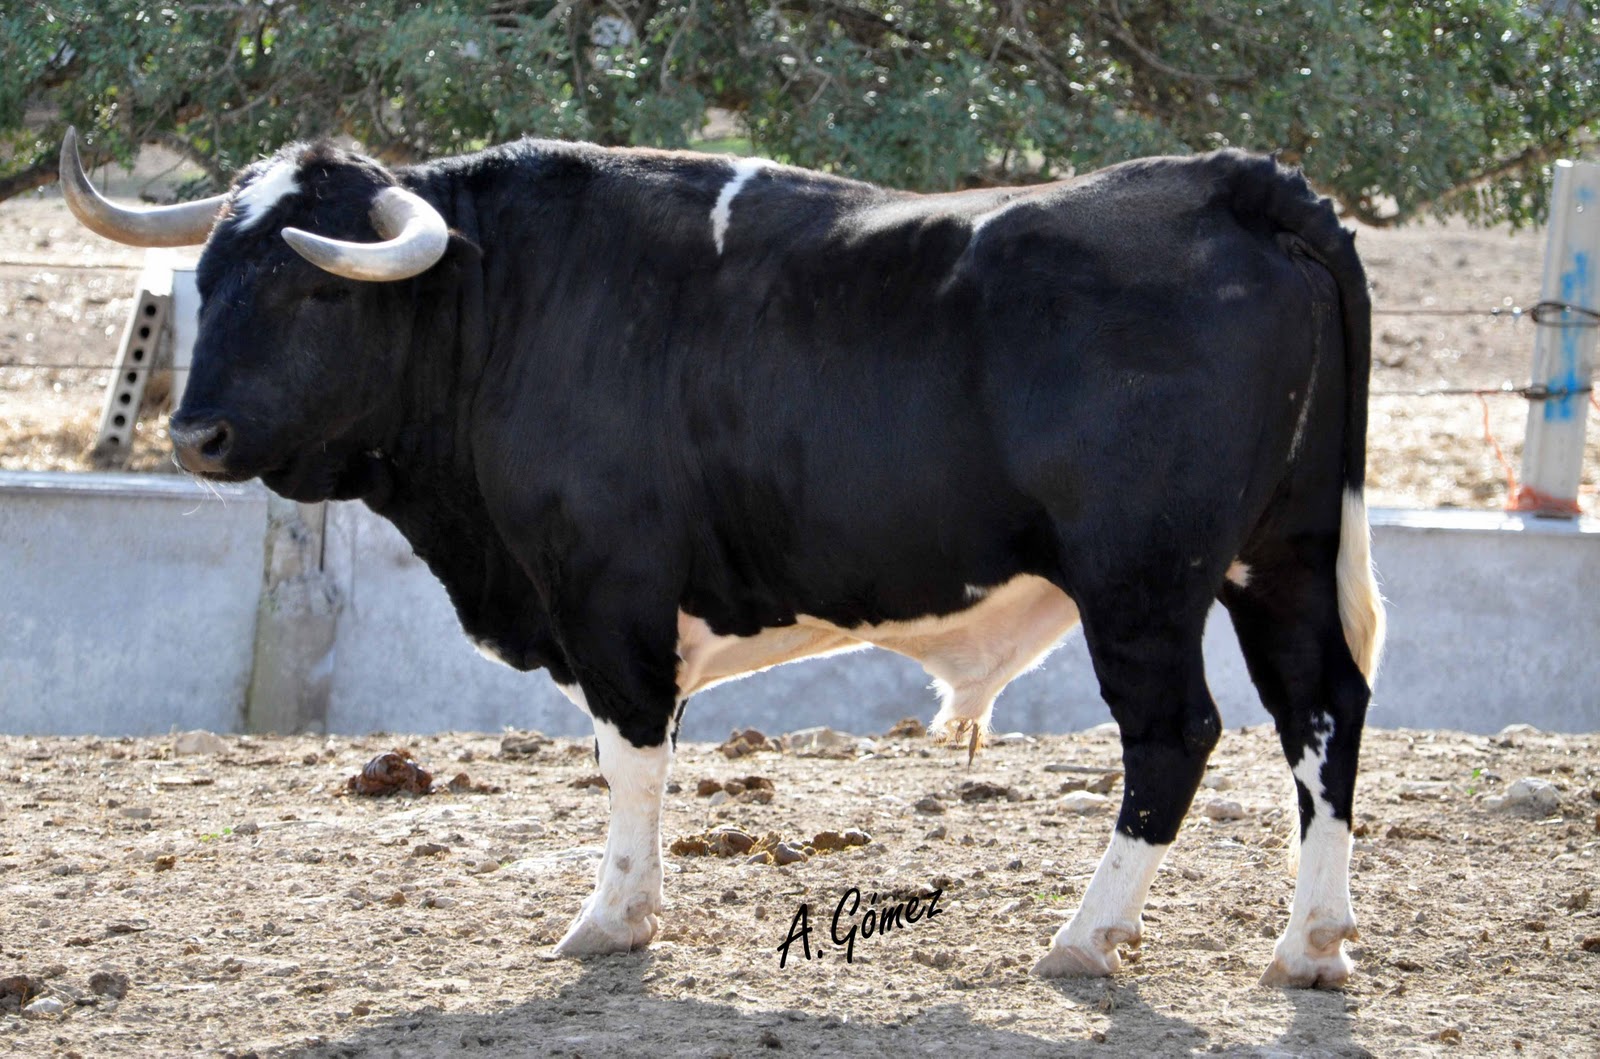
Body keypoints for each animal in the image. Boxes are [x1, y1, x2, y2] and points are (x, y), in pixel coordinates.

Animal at [59, 126, 1384, 987]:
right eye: (212, 271)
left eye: (313, 289)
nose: (193, 435)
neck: (508, 298)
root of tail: (1230, 182)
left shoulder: (609, 592)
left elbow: (631, 756)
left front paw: (614, 918)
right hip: (1281, 558)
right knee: (1319, 708)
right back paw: (1309, 944)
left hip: (1140, 584)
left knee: (1175, 735)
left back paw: (1085, 937)